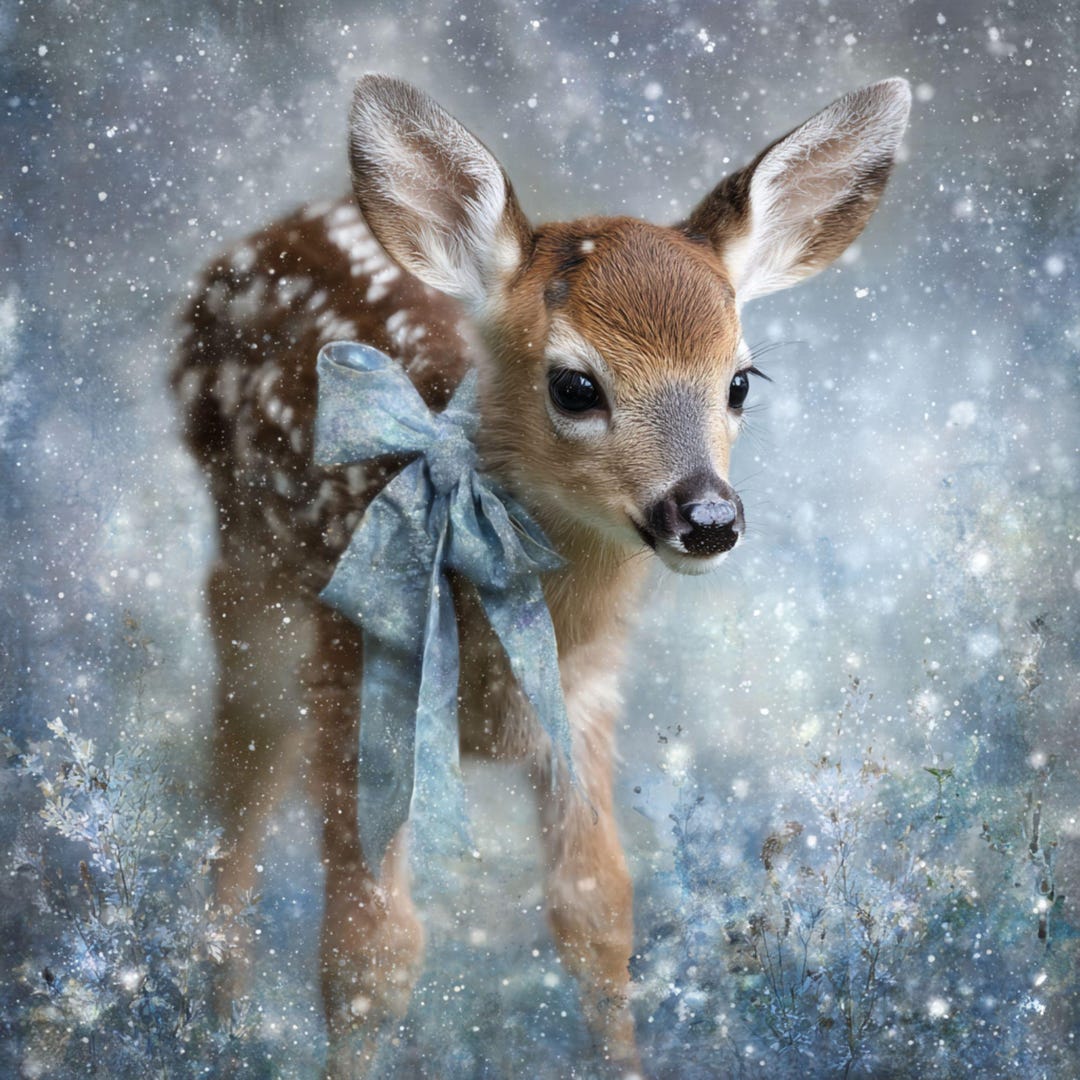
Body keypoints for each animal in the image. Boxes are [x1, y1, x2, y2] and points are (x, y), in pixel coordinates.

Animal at [172, 74, 911, 1076]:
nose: (707, 517)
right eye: (575, 386)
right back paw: (216, 1018)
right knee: (238, 779)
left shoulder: (583, 699)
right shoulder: (357, 670)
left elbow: (595, 914)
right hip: (246, 569)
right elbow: (369, 948)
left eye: (741, 381)